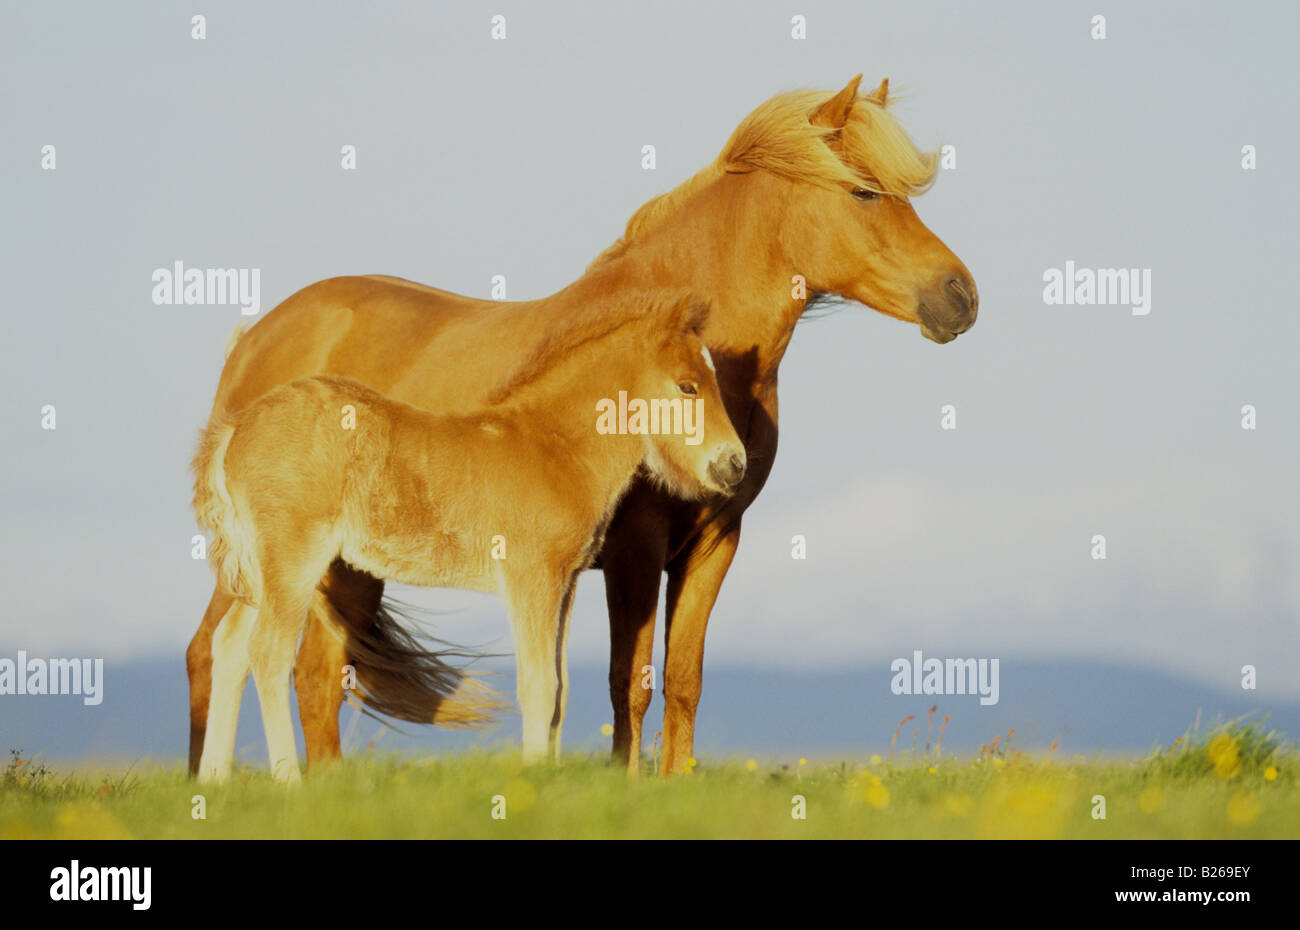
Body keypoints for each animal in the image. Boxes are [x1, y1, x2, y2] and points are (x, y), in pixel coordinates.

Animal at [191, 293, 743, 783]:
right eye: (688, 386)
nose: (734, 464)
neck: (553, 446)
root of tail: (235, 431)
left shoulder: (564, 584)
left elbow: (560, 687)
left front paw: (550, 775)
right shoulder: (530, 578)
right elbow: (538, 684)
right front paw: (534, 776)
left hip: (262, 567)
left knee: (230, 645)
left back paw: (214, 781)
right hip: (293, 557)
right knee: (268, 651)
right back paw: (287, 781)